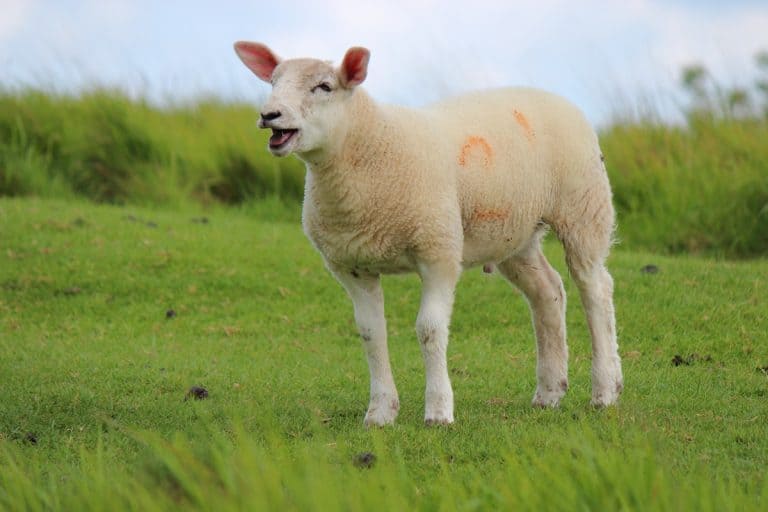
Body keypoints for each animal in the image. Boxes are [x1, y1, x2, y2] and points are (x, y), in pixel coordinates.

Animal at [234, 42, 623, 426]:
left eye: (324, 86)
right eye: (273, 82)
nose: (269, 115)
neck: (371, 146)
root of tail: (554, 96)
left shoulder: (438, 252)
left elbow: (429, 329)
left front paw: (438, 411)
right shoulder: (352, 267)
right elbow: (371, 333)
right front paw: (380, 412)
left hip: (583, 209)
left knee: (595, 289)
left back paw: (605, 390)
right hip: (514, 234)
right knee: (548, 291)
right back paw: (549, 392)